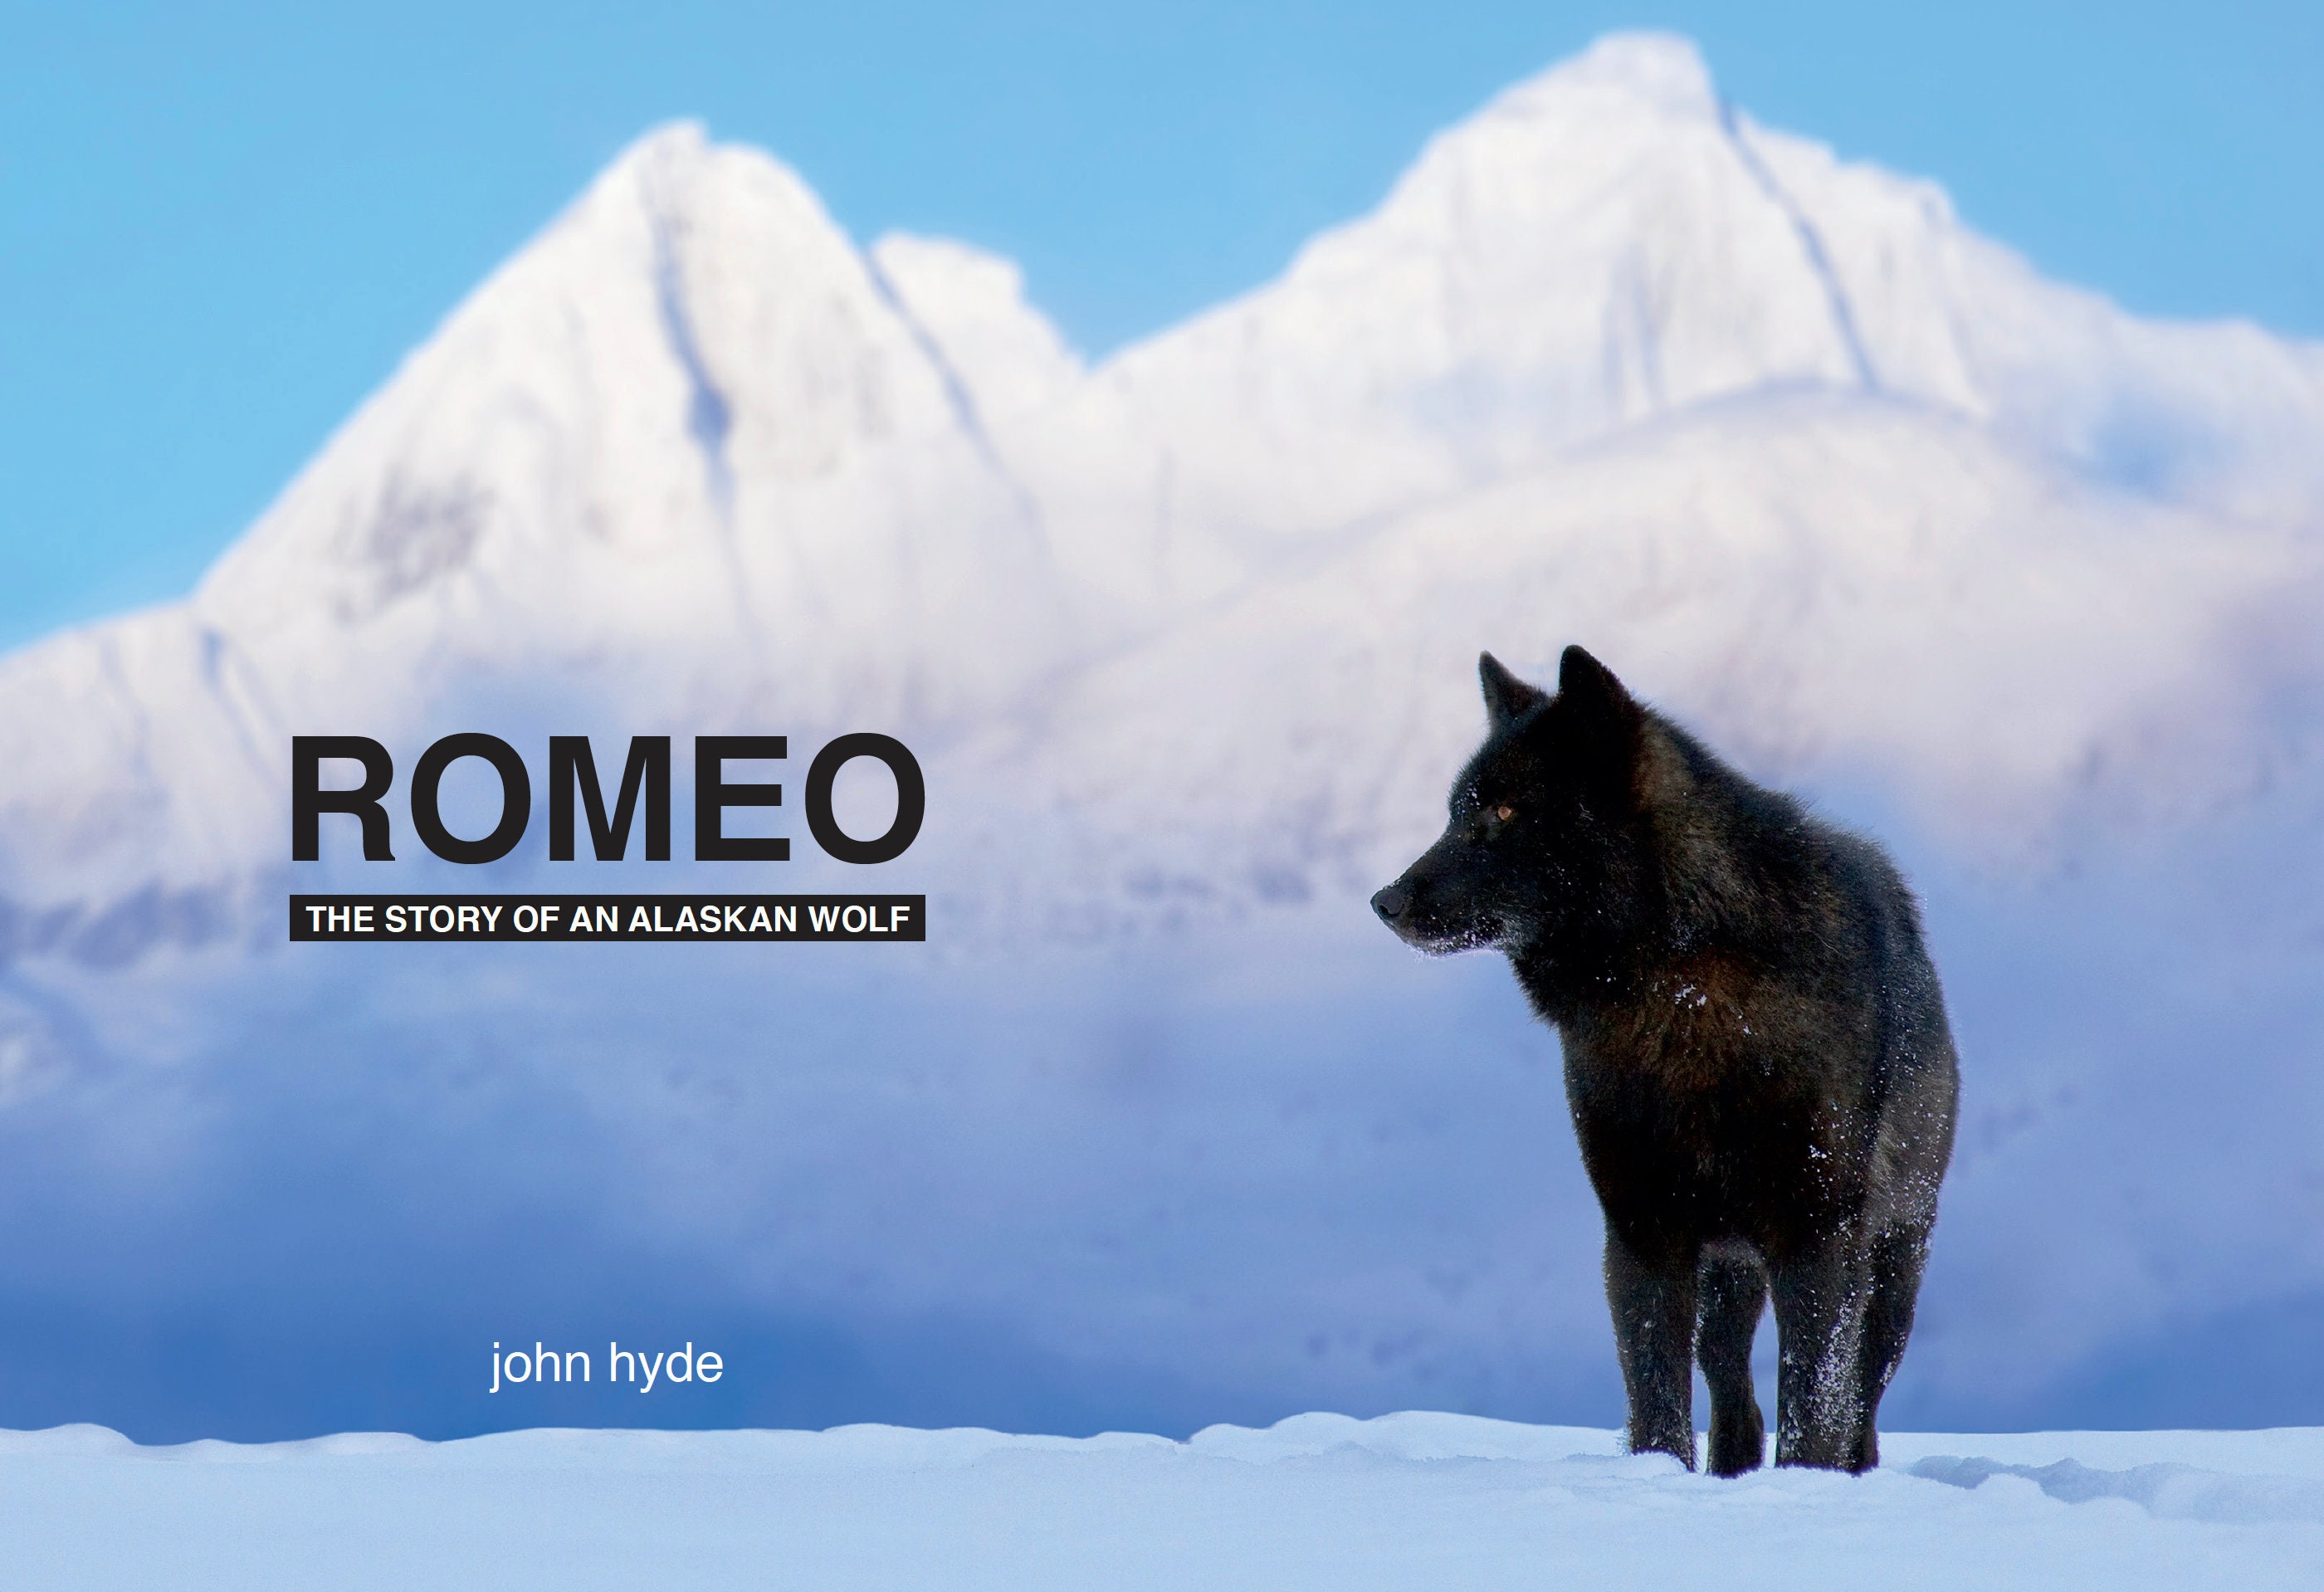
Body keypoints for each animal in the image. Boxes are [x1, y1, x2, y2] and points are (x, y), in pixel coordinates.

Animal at [1371, 647, 1959, 1474]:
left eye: (1507, 813)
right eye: (1458, 812)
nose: (1385, 901)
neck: (1681, 991)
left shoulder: (1817, 1233)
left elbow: (1816, 1405)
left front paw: (1806, 1485)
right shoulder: (1641, 1230)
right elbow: (1656, 1398)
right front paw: (1660, 1479)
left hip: (1893, 1271)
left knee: (1859, 1401)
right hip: (1729, 1274)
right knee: (1733, 1392)